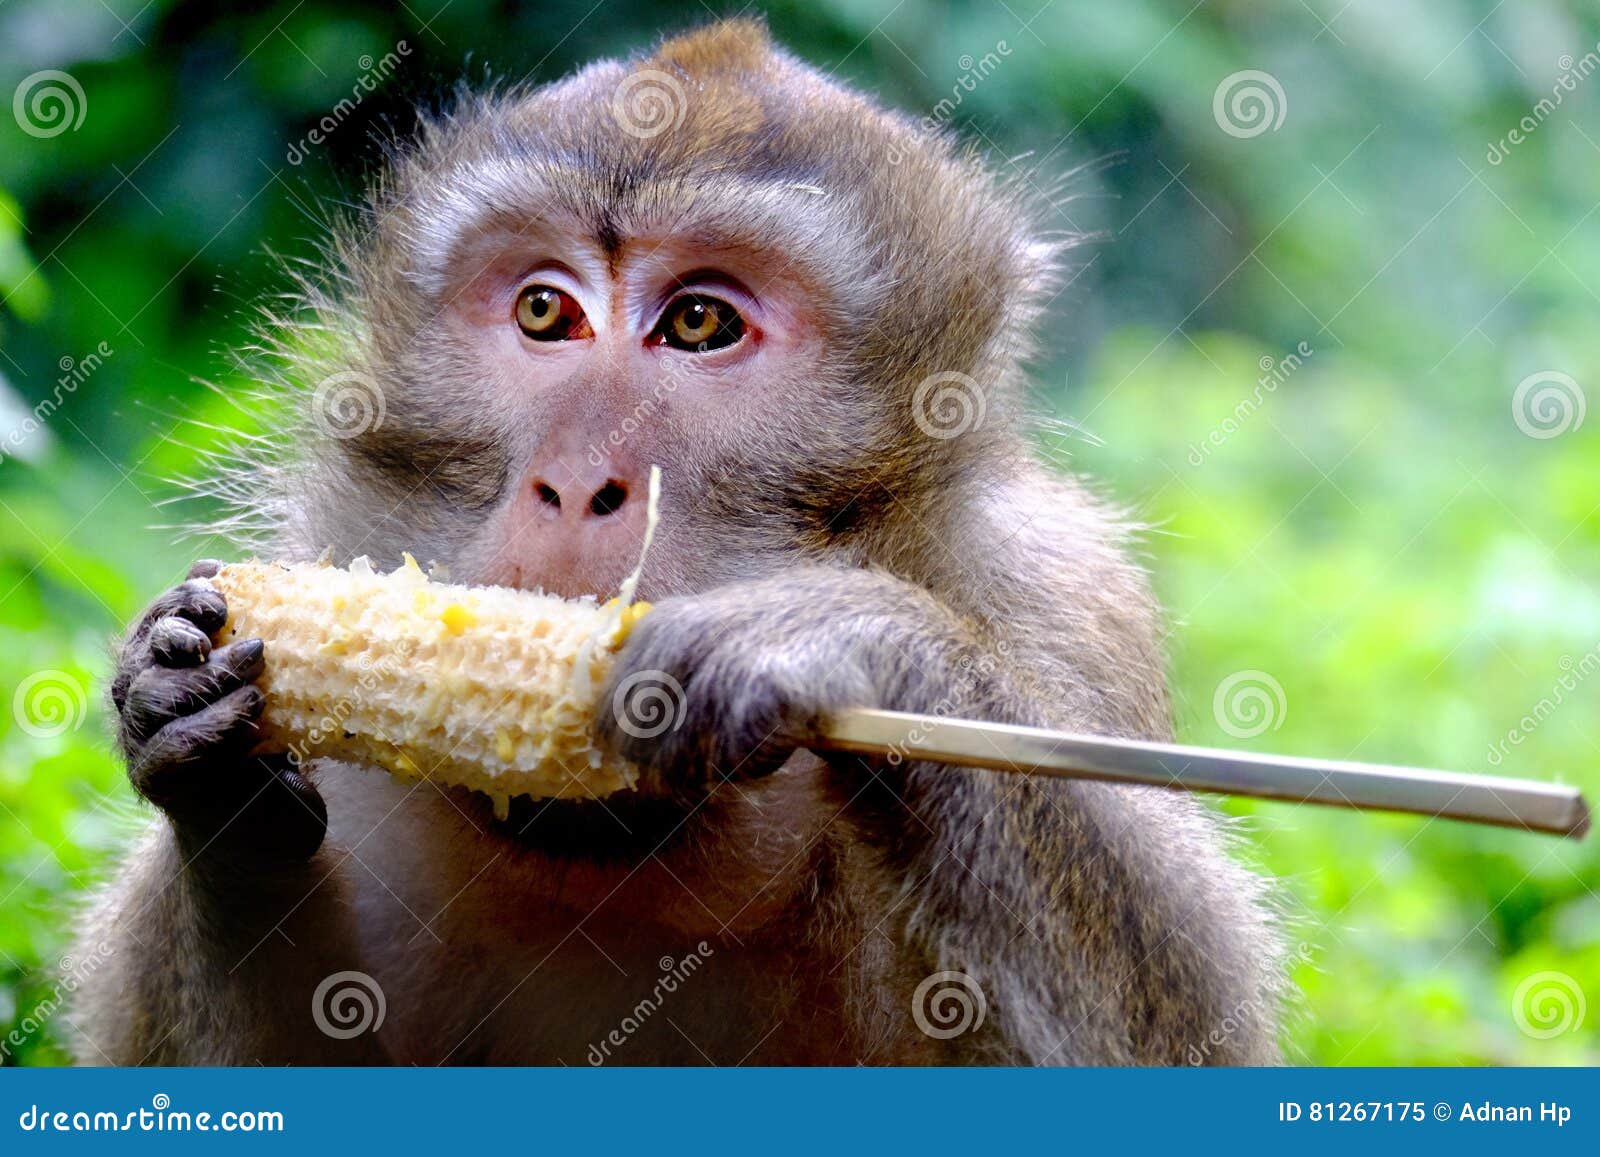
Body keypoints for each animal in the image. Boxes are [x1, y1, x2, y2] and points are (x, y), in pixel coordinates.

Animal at [69, 19, 1286, 1066]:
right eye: (546, 312)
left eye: (700, 322)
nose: (575, 484)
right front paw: (211, 772)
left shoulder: (1063, 604)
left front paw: (852, 643)